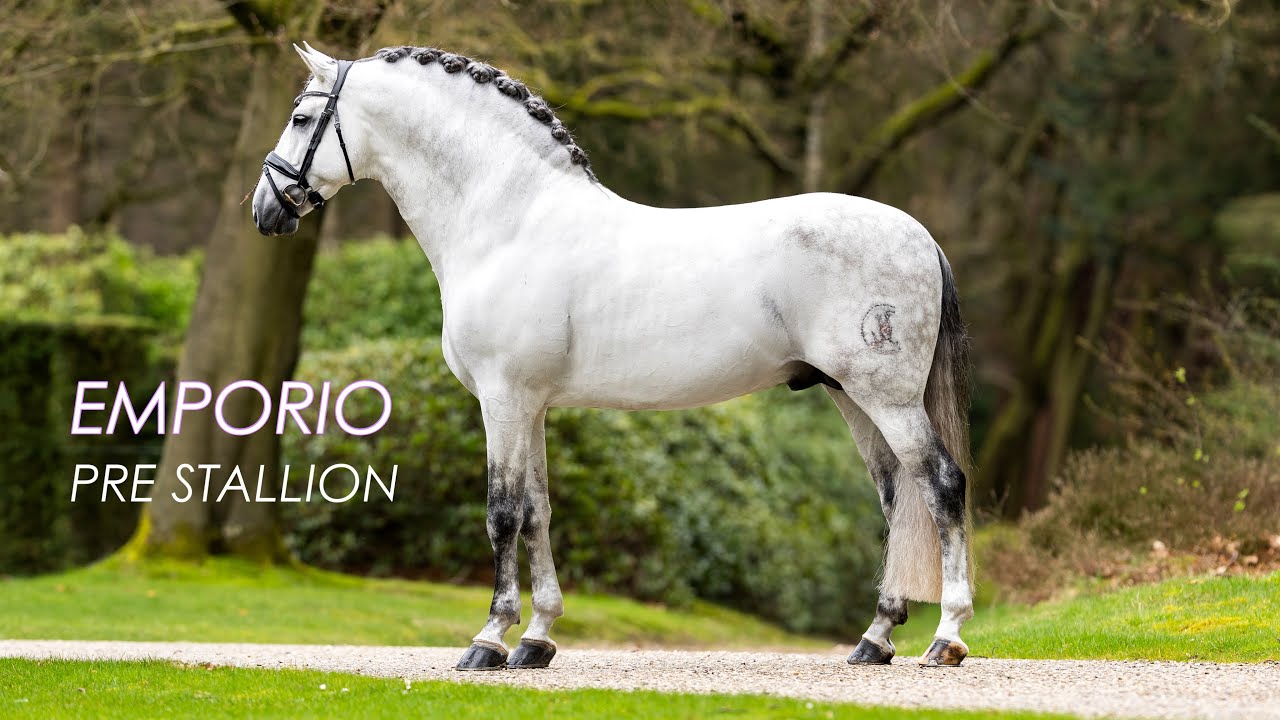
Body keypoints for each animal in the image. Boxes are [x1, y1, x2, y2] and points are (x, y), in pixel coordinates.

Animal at [252, 42, 975, 671]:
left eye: (300, 118)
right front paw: (537, 639)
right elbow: (538, 511)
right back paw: (875, 638)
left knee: (941, 485)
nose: (265, 209)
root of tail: (920, 235)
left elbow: (502, 513)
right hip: (850, 395)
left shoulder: (503, 399)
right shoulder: (532, 406)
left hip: (887, 397)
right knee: (896, 499)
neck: (510, 221)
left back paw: (946, 638)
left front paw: (489, 640)